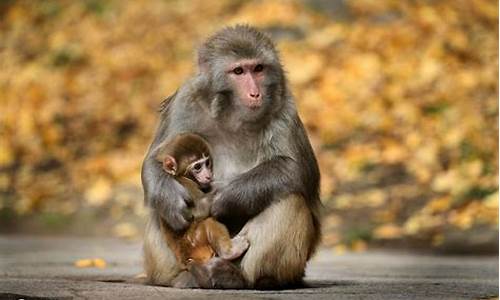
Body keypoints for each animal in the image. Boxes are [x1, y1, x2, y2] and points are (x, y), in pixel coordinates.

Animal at [142, 25, 320, 288]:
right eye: (238, 71)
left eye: (258, 68)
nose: (255, 93)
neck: (232, 114)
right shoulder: (185, 100)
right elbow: (155, 159)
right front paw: (172, 200)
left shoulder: (283, 108)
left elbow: (295, 168)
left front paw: (222, 199)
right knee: (157, 205)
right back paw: (180, 277)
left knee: (289, 199)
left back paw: (238, 277)